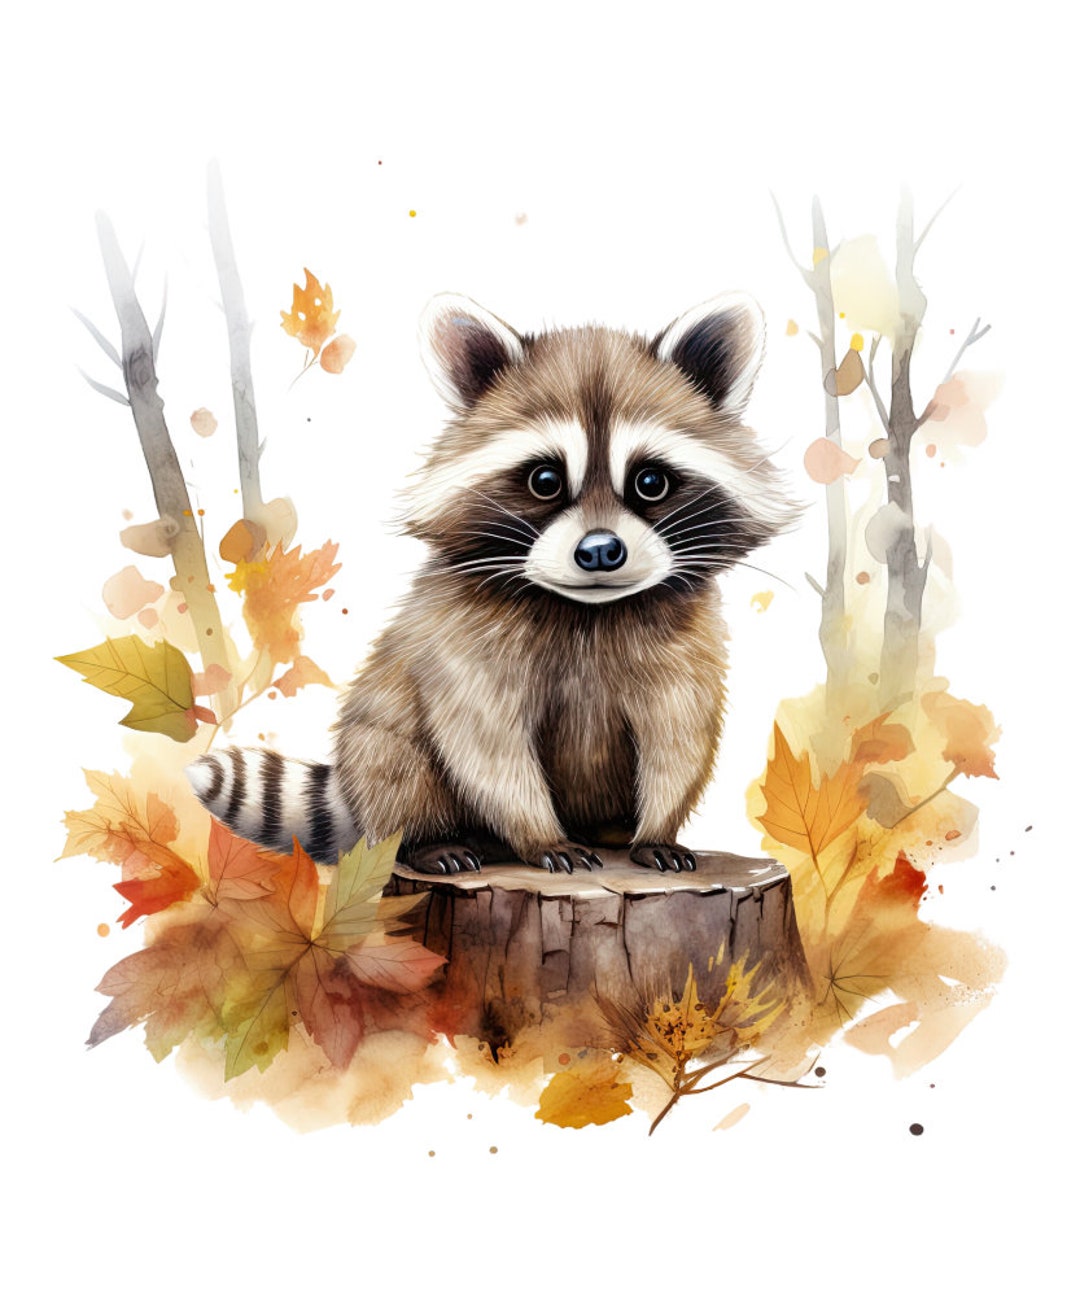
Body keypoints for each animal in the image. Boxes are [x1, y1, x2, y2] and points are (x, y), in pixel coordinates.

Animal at [188, 292, 796, 874]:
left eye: (650, 482)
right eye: (545, 480)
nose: (600, 551)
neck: (589, 609)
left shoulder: (686, 639)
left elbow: (680, 736)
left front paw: (658, 830)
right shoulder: (461, 638)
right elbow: (485, 744)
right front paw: (538, 834)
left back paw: (611, 830)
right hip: (378, 748)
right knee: (396, 763)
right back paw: (431, 841)